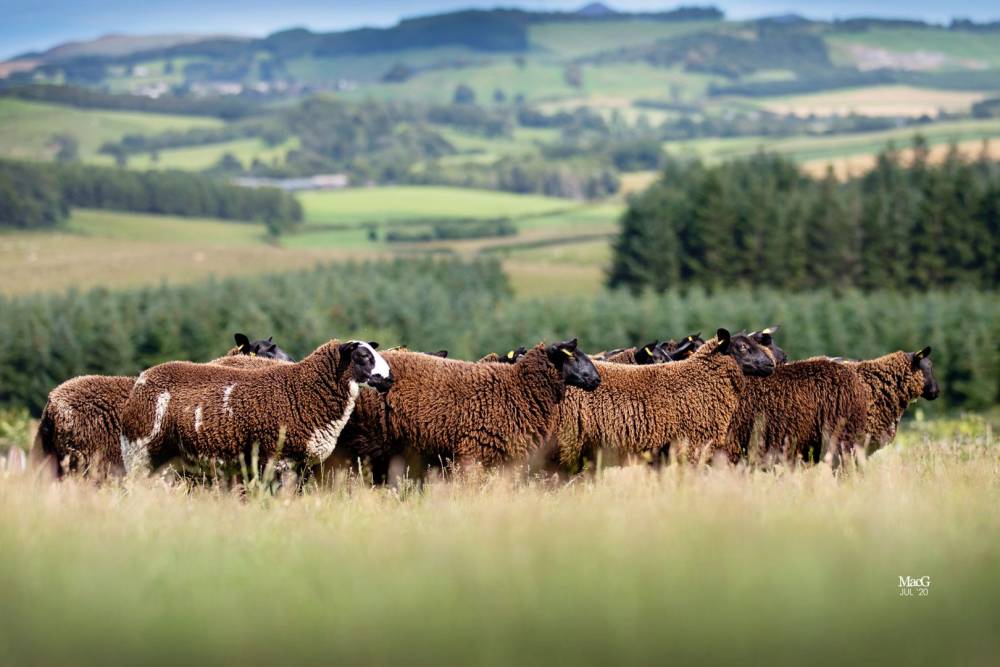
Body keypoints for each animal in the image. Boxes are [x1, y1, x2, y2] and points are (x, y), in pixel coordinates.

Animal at [118, 340, 391, 476]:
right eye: (363, 356)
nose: (390, 379)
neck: (302, 389)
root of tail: (143, 378)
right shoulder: (272, 458)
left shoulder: (301, 463)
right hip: (140, 451)